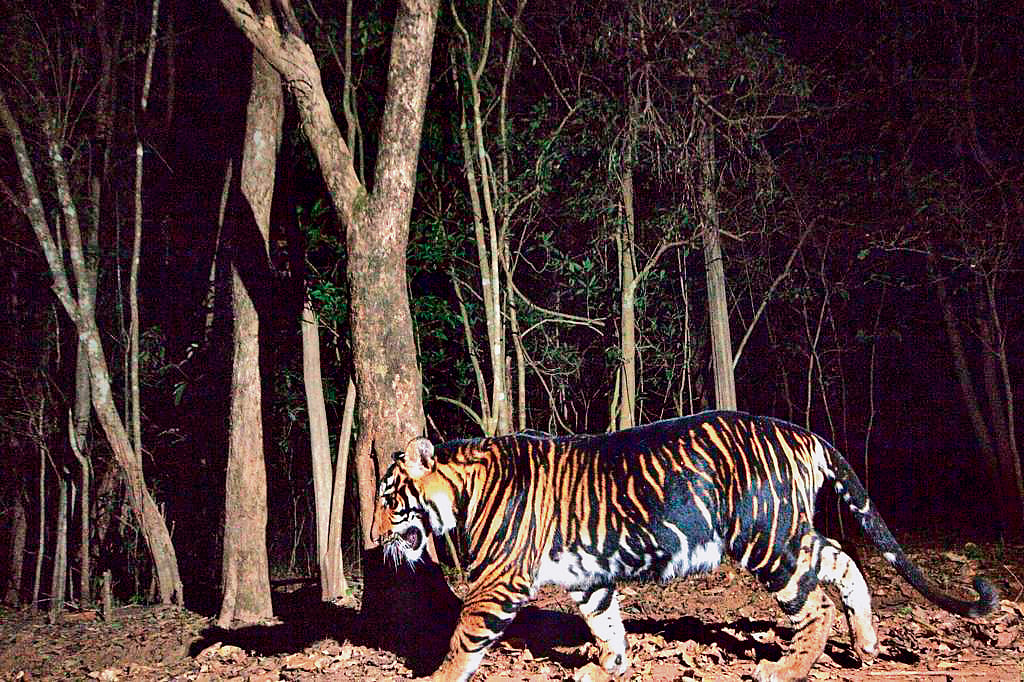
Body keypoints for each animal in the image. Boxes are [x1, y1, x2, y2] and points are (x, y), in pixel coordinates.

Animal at [374, 410, 998, 682]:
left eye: (388, 497)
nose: (373, 536)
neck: (463, 491)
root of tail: (804, 432)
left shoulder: (497, 581)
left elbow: (463, 638)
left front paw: (436, 679)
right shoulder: (588, 577)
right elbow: (606, 624)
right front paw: (608, 668)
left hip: (767, 541)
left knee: (814, 606)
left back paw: (785, 669)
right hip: (789, 533)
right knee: (845, 564)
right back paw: (865, 644)